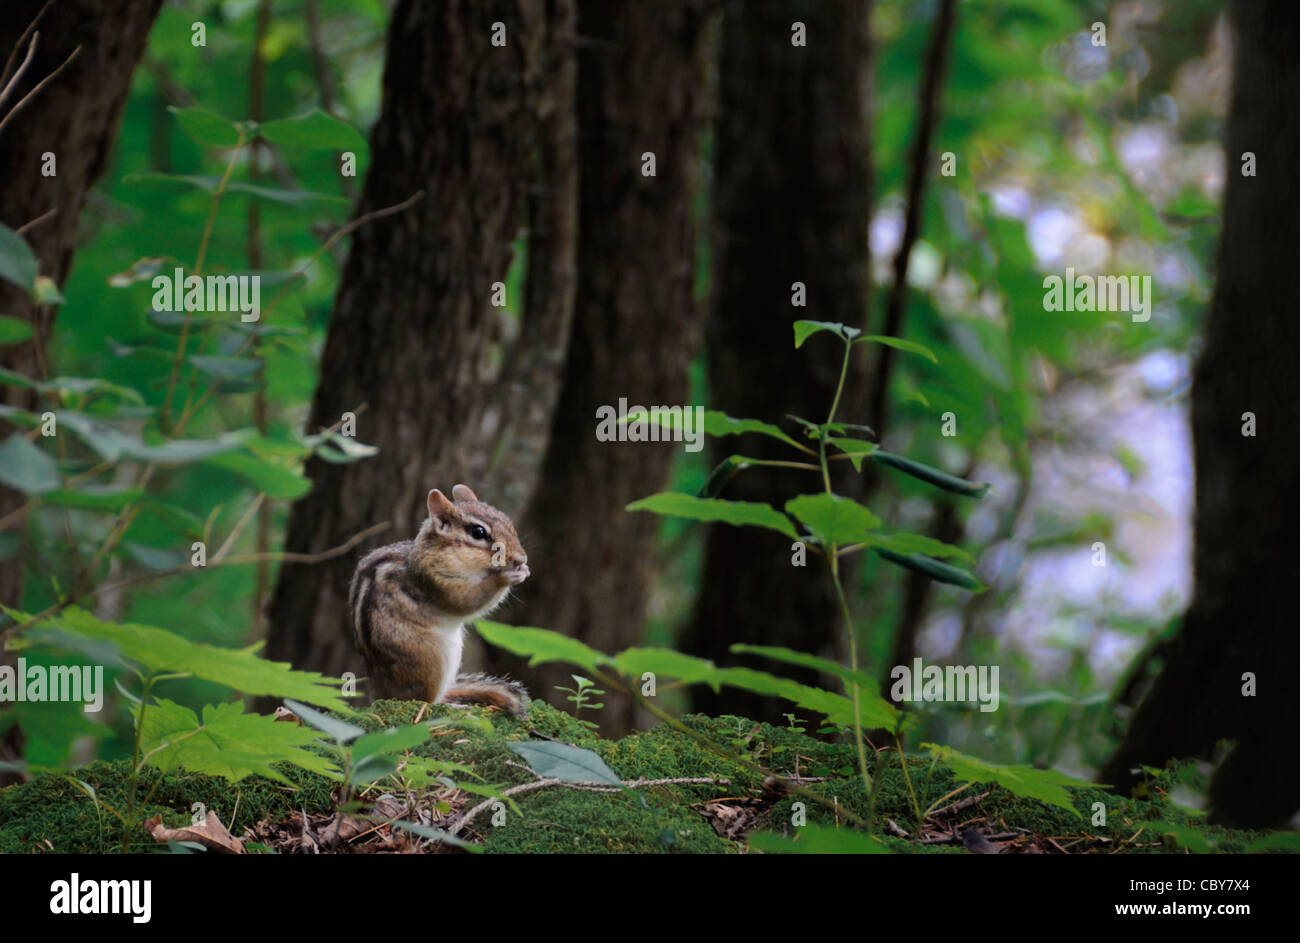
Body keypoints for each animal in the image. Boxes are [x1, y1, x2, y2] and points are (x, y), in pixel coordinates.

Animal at [349, 484, 531, 716]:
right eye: (478, 532)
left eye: (509, 522)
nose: (521, 558)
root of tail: (380, 692)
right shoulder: (435, 580)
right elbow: (466, 600)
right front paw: (506, 576)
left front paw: (524, 570)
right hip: (430, 660)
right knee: (423, 700)